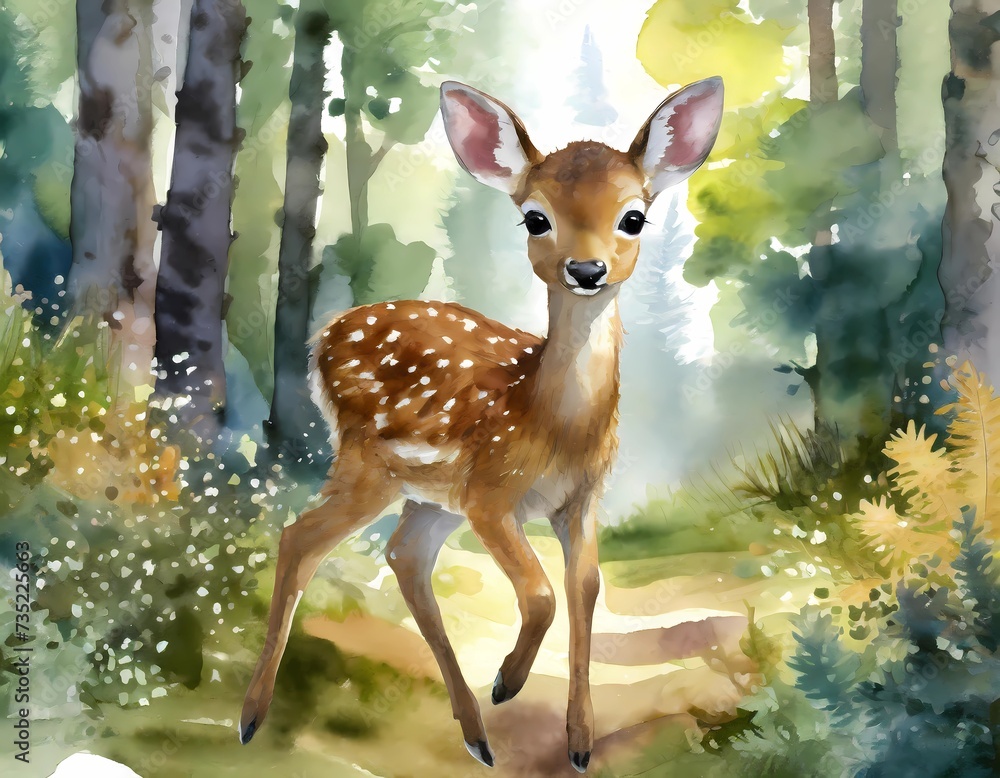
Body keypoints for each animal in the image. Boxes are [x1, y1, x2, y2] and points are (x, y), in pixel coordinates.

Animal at [239, 76, 724, 773]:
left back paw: (475, 735)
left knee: (403, 556)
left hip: (428, 495)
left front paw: (581, 742)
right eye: (535, 217)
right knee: (299, 539)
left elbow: (585, 592)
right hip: (369, 463)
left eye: (633, 217)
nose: (587, 271)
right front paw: (508, 682)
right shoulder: (491, 494)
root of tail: (321, 339)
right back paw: (252, 717)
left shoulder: (582, 500)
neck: (552, 425)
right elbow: (543, 594)